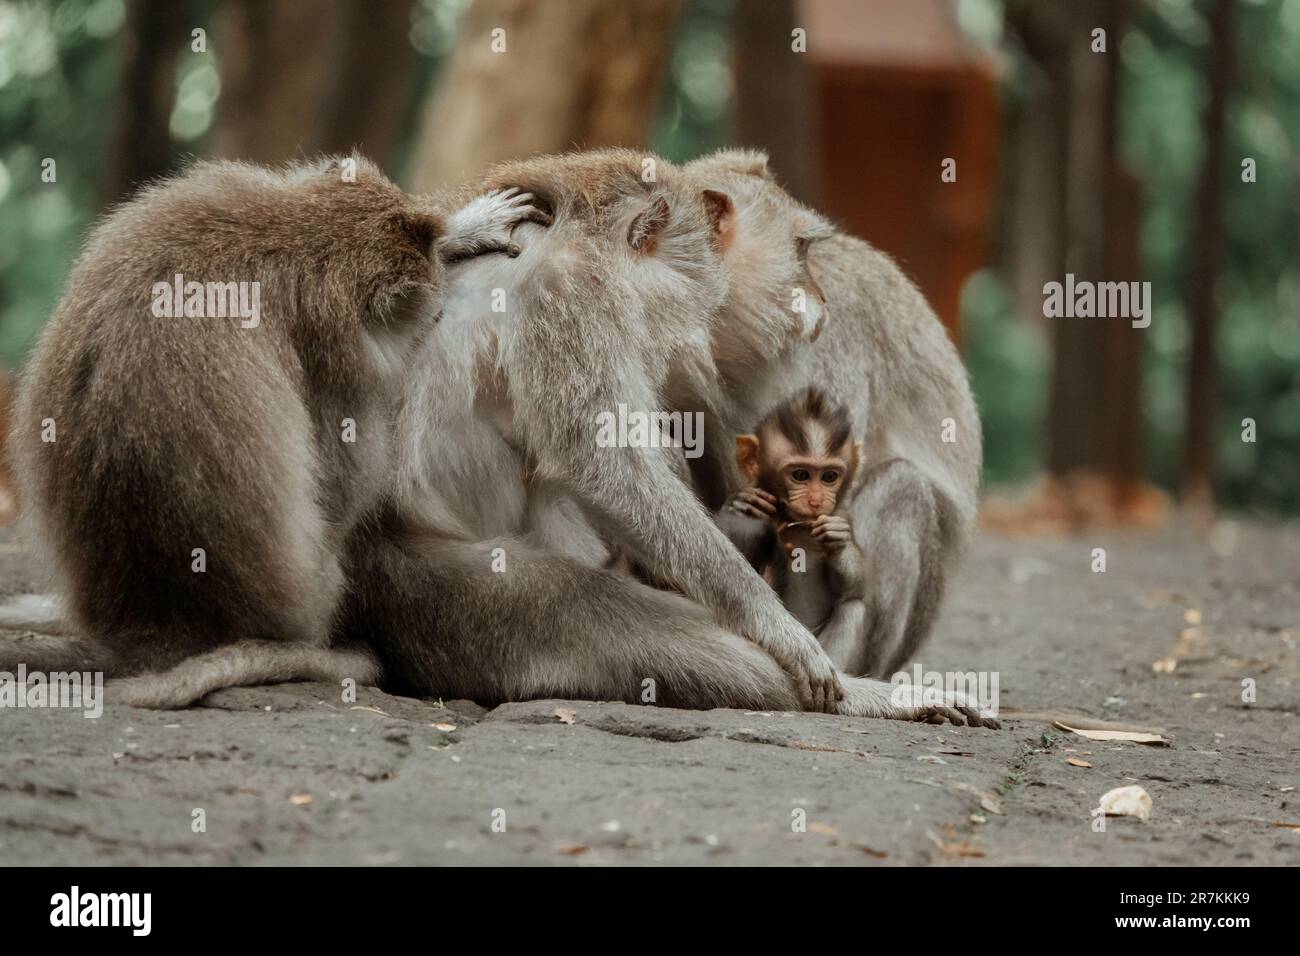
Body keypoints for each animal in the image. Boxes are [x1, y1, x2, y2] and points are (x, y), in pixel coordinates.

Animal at [0, 156, 543, 706]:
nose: (433, 310)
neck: (292, 236)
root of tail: (151, 627)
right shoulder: (335, 355)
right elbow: (344, 486)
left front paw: (458, 232)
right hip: (318, 588)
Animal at [716, 387, 876, 674]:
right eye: (800, 475)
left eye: (829, 477)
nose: (816, 500)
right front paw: (740, 506)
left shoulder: (842, 513)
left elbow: (856, 589)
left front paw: (838, 539)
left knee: (854, 607)